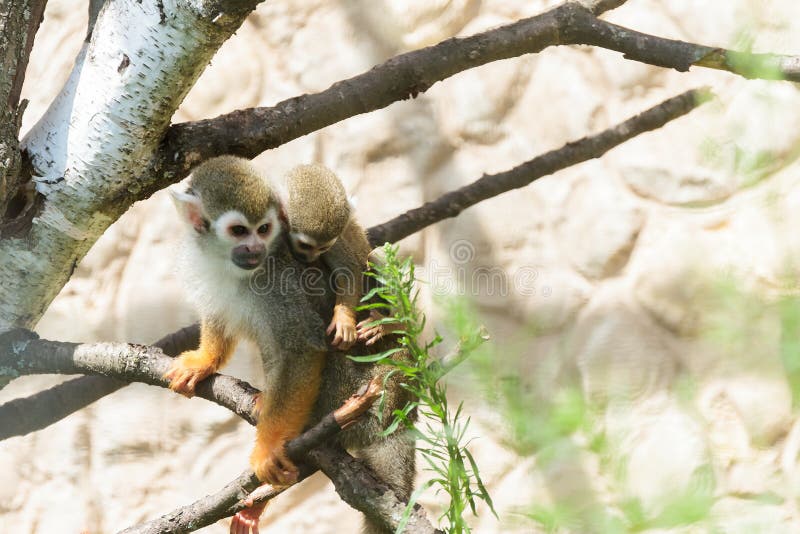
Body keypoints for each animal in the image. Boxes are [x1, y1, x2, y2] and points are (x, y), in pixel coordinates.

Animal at [166, 156, 416, 534]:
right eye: (239, 231)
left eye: (264, 229)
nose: (255, 249)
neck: (229, 265)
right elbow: (219, 316)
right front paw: (204, 360)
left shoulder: (278, 280)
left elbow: (302, 347)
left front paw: (269, 448)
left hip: (360, 384)